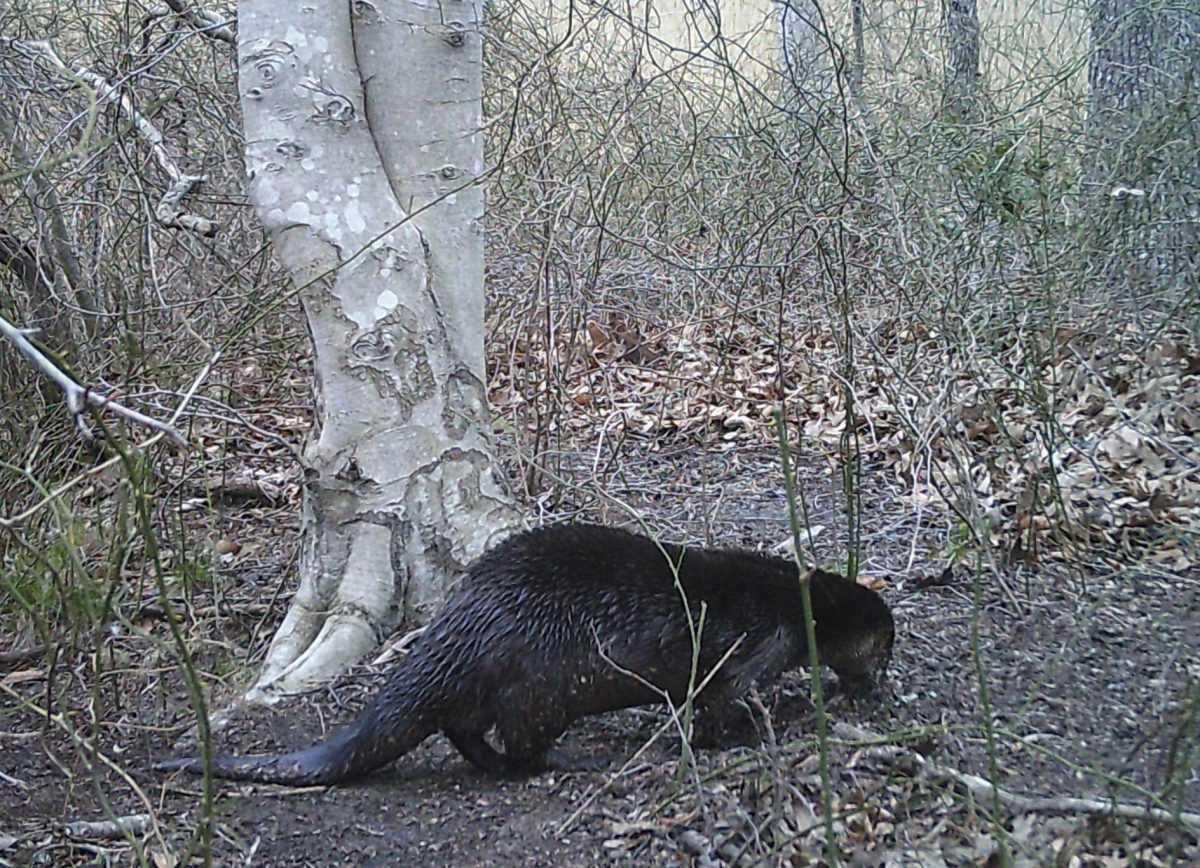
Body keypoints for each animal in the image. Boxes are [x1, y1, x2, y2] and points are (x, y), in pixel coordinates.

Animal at [156, 523, 894, 786]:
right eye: (885, 649)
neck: (799, 607)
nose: (878, 686)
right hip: (542, 684)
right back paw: (563, 763)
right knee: (518, 739)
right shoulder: (761, 644)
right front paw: (742, 735)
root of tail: (462, 623)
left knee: (462, 729)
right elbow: (717, 702)